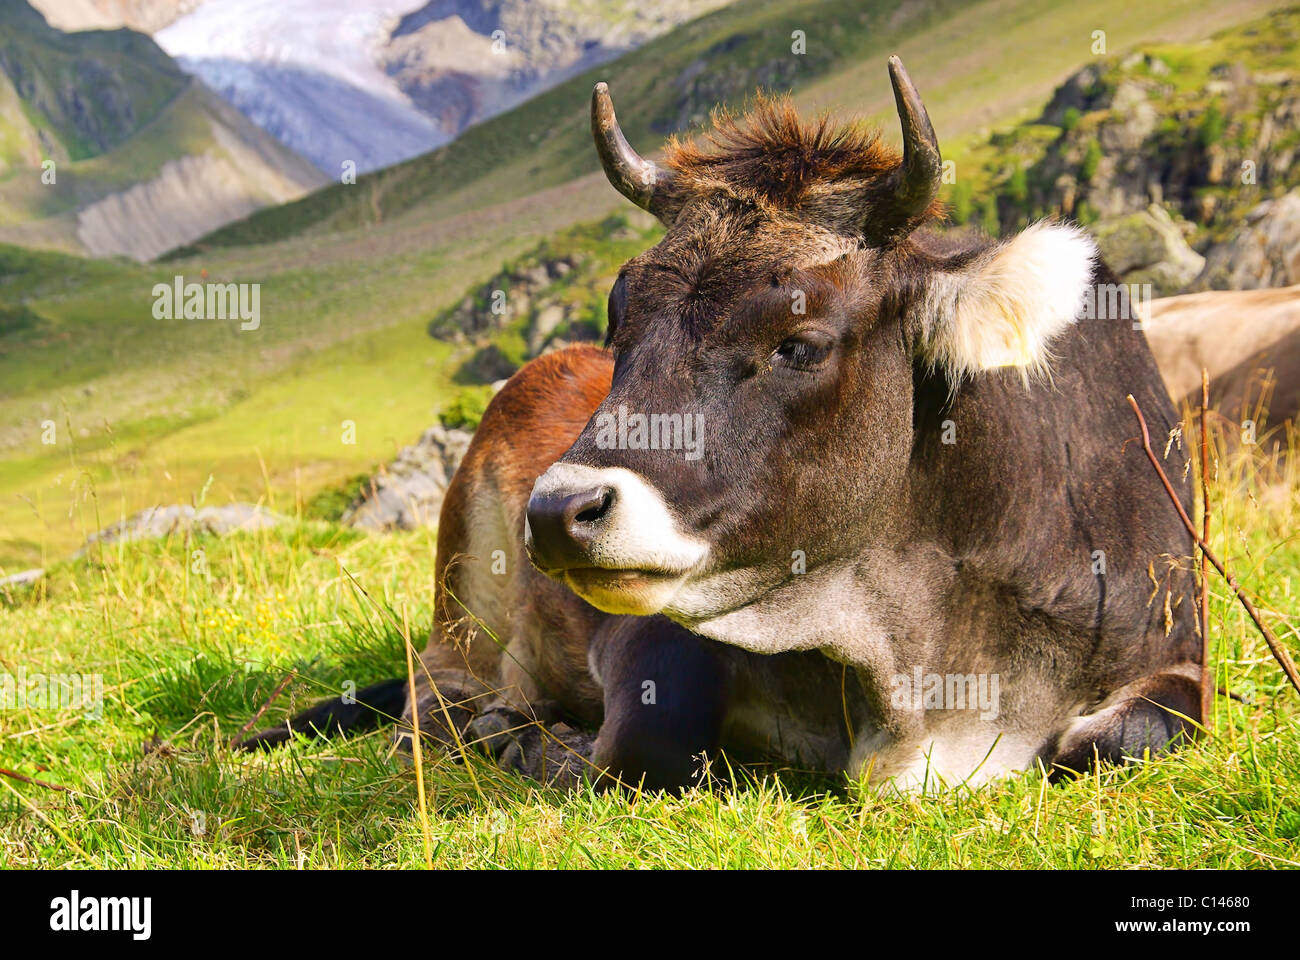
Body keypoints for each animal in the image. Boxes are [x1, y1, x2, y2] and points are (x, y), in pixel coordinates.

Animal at [243, 58, 1202, 793]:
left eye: (801, 341)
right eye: (619, 316)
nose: (556, 512)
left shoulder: (1173, 641)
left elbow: (1133, 735)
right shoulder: (655, 624)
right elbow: (644, 742)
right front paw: (530, 743)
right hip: (463, 603)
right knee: (430, 698)